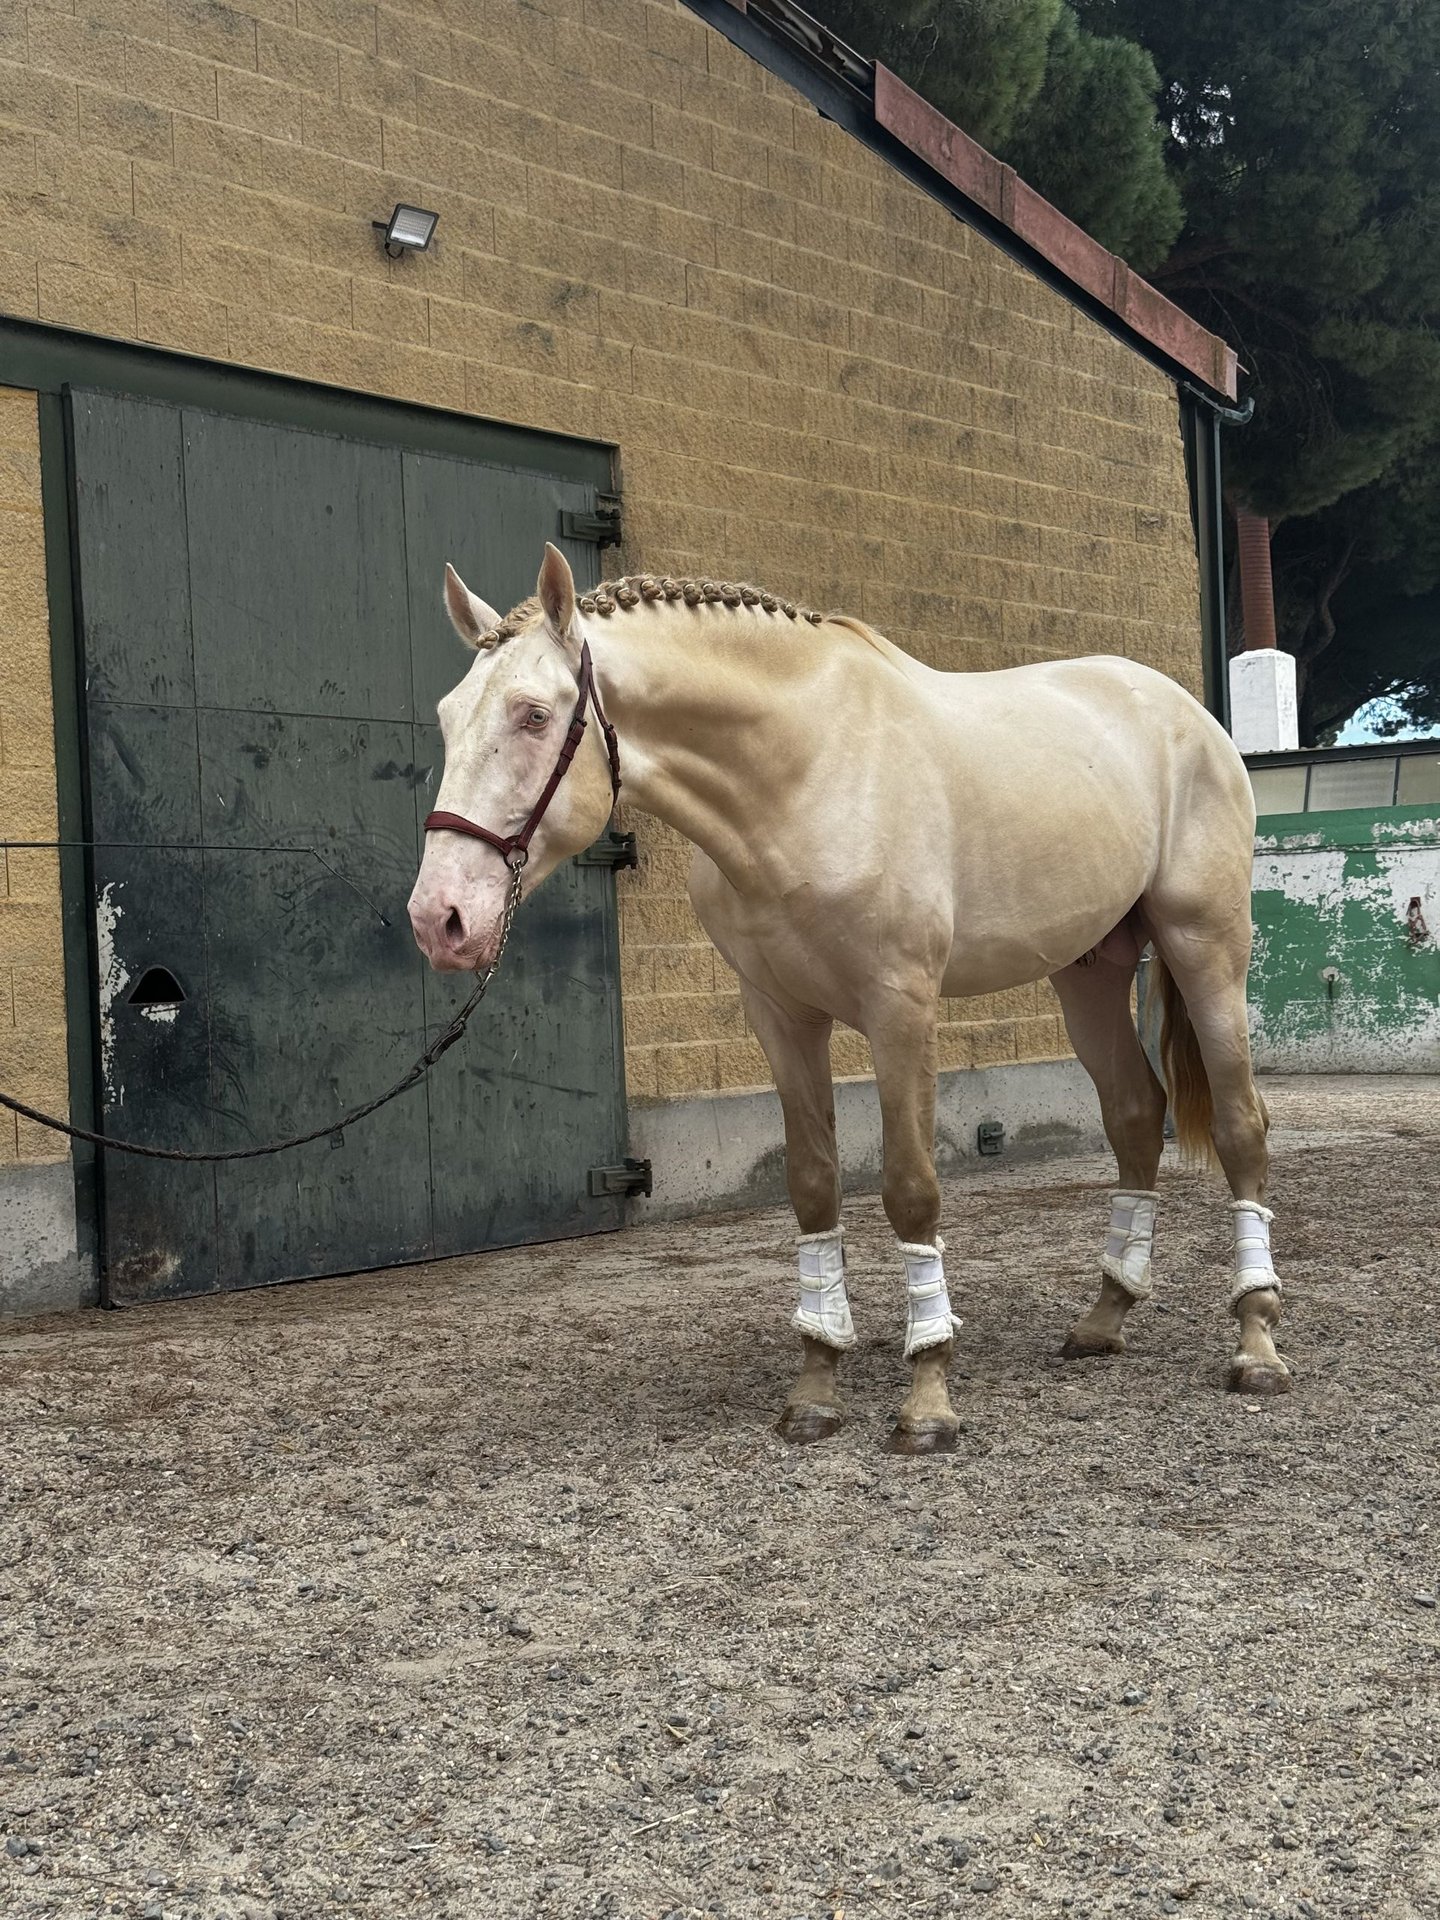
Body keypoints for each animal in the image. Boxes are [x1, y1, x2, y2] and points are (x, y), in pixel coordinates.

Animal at [409, 544, 1285, 1454]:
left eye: (534, 715)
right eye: (448, 717)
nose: (441, 920)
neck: (803, 771)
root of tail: (1189, 715)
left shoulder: (900, 1009)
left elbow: (910, 1191)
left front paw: (928, 1395)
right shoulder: (780, 1016)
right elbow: (814, 1186)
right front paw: (816, 1386)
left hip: (1205, 948)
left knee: (1240, 1126)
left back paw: (1257, 1342)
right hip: (1088, 973)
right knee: (1136, 1118)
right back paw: (1106, 1317)